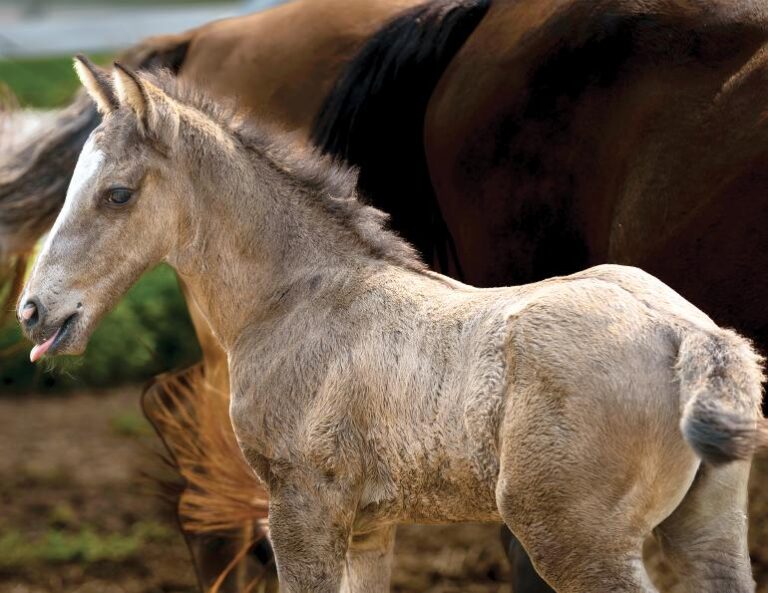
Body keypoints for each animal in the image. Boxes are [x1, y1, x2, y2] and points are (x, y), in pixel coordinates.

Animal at [18, 58, 768, 593]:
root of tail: (689, 333)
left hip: (576, 540)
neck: (296, 297)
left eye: (117, 194)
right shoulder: (368, 528)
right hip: (707, 526)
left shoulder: (300, 509)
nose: (33, 310)